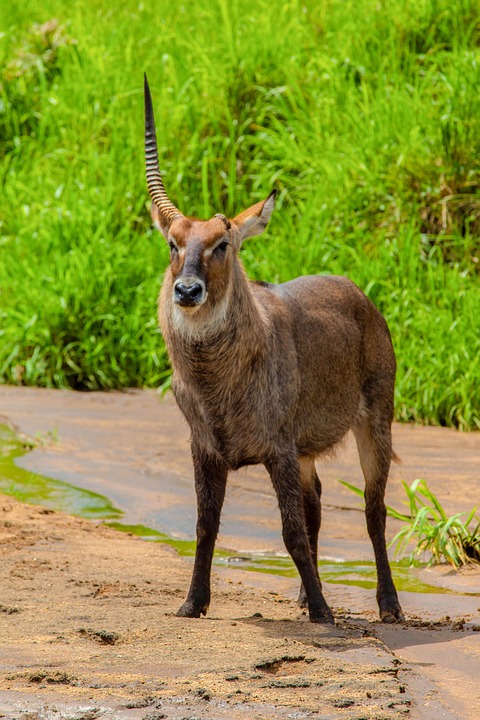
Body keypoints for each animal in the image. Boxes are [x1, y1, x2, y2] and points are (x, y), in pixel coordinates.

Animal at [144, 75, 404, 625]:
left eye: (222, 244)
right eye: (174, 244)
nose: (187, 291)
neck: (219, 380)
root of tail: (358, 293)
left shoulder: (279, 449)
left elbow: (291, 533)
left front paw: (325, 613)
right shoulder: (205, 447)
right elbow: (206, 525)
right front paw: (192, 603)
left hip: (376, 420)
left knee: (373, 510)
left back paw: (388, 605)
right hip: (308, 449)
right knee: (318, 503)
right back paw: (307, 594)